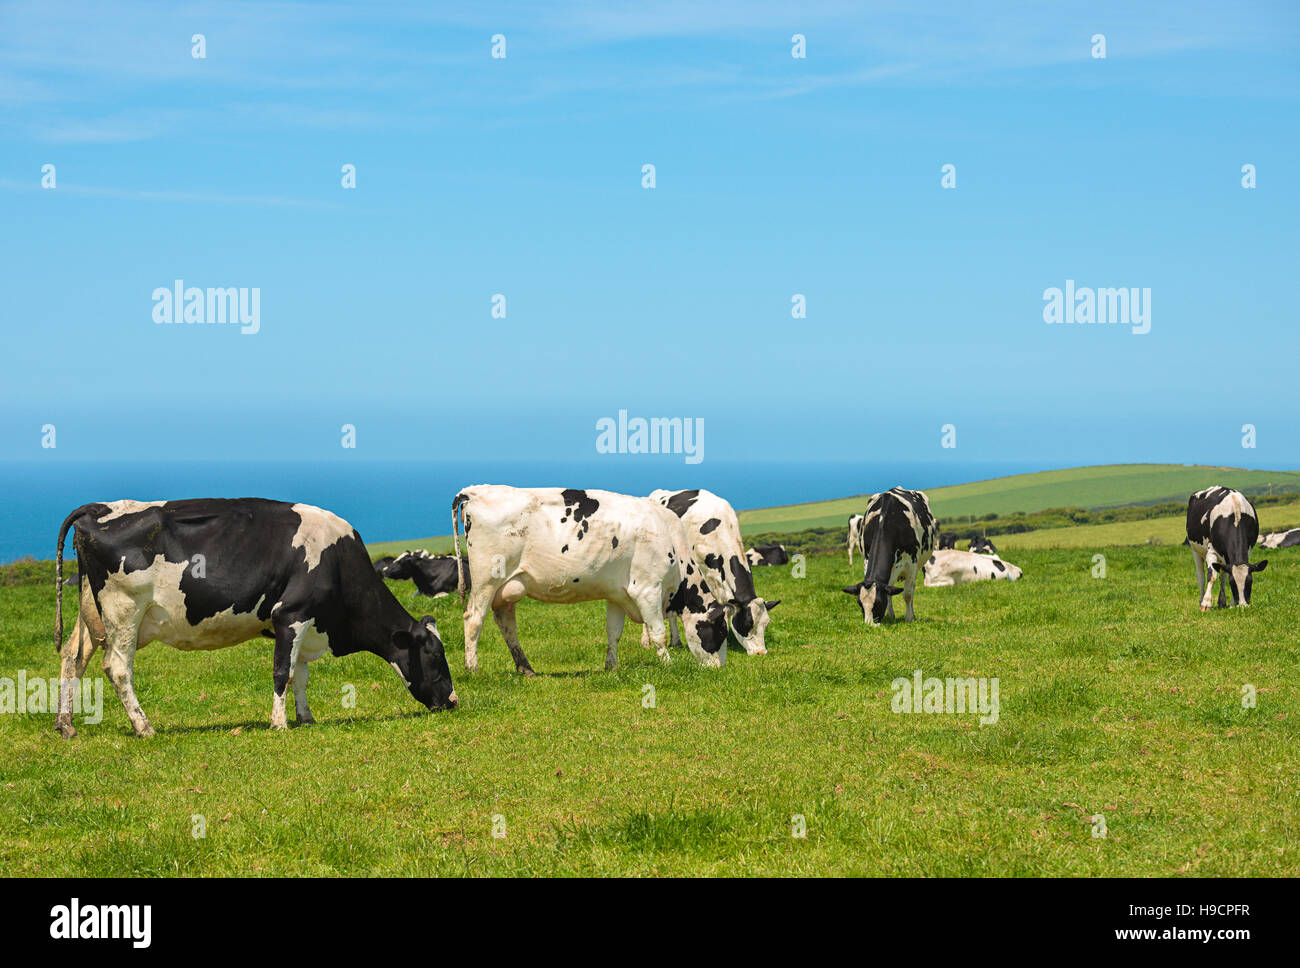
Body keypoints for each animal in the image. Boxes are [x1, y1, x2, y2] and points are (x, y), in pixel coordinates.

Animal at [53, 499, 457, 739]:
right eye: (435, 655)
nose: (453, 701)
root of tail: (100, 508)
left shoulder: (306, 623)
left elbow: (300, 674)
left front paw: (306, 717)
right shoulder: (290, 615)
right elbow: (282, 672)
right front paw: (279, 723)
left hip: (93, 614)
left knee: (73, 657)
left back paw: (66, 725)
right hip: (124, 610)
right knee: (117, 667)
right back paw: (144, 726)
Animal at [451, 486, 730, 674]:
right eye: (720, 631)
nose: (720, 668)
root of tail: (476, 491)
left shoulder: (618, 595)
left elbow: (613, 633)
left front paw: (611, 667)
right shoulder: (647, 589)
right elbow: (658, 633)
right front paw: (668, 665)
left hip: (507, 587)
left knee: (506, 624)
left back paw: (526, 668)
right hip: (486, 580)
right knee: (473, 620)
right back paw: (472, 667)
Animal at [842, 487, 938, 625]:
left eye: (878, 603)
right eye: (860, 604)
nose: (869, 625)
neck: (886, 520)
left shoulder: (911, 564)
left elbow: (908, 593)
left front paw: (909, 618)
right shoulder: (867, 560)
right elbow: (889, 591)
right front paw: (890, 615)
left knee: (911, 588)